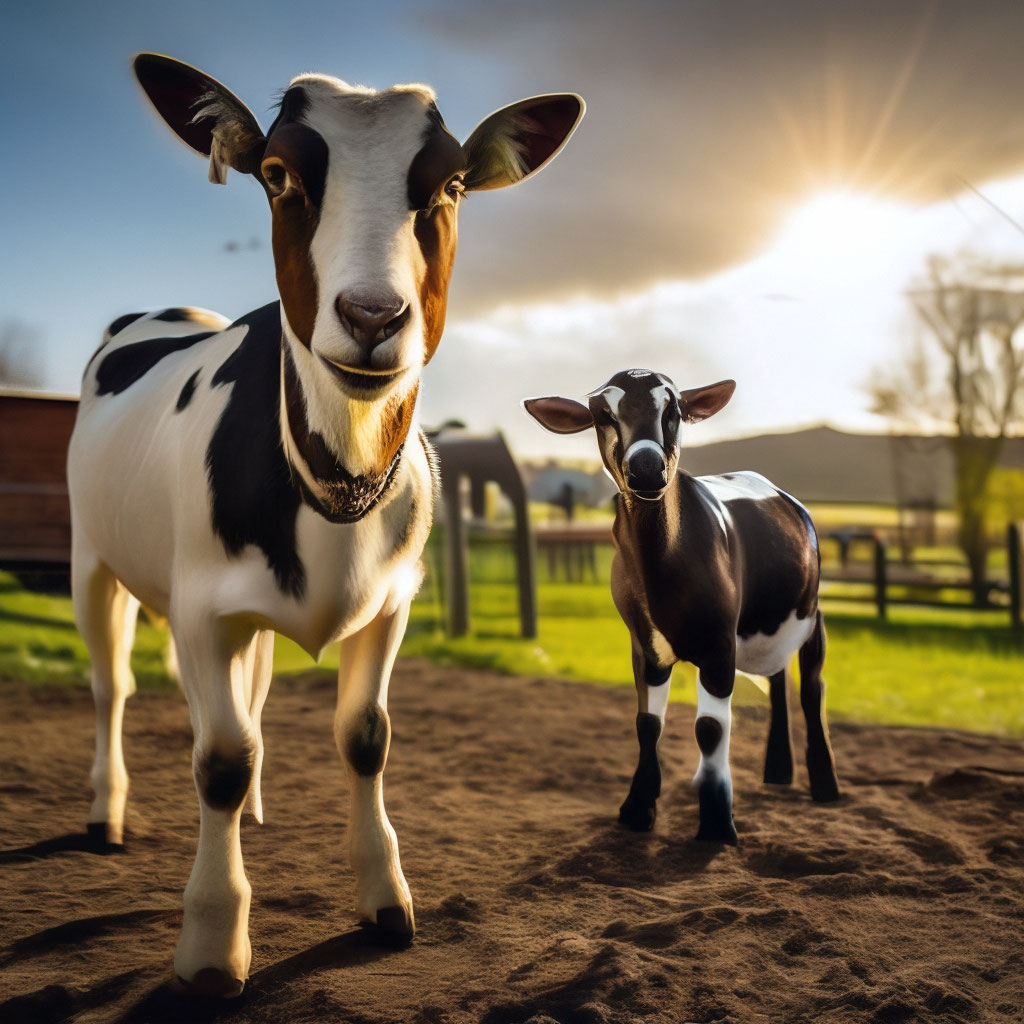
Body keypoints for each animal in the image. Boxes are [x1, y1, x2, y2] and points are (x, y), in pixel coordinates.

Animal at [67, 53, 583, 995]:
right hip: (94, 558)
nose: (374, 317)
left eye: (452, 183)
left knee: (251, 700)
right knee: (113, 687)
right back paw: (105, 812)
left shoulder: (393, 604)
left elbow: (362, 736)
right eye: (278, 176)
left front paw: (385, 897)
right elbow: (218, 760)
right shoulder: (200, 609)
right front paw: (212, 941)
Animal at [523, 369, 840, 844]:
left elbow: (710, 727)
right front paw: (638, 808)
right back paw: (778, 771)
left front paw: (716, 823)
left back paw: (824, 785)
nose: (646, 468)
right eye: (602, 414)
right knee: (779, 681)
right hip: (770, 624)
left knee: (811, 688)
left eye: (673, 409)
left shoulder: (720, 644)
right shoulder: (643, 643)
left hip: (812, 614)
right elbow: (646, 722)